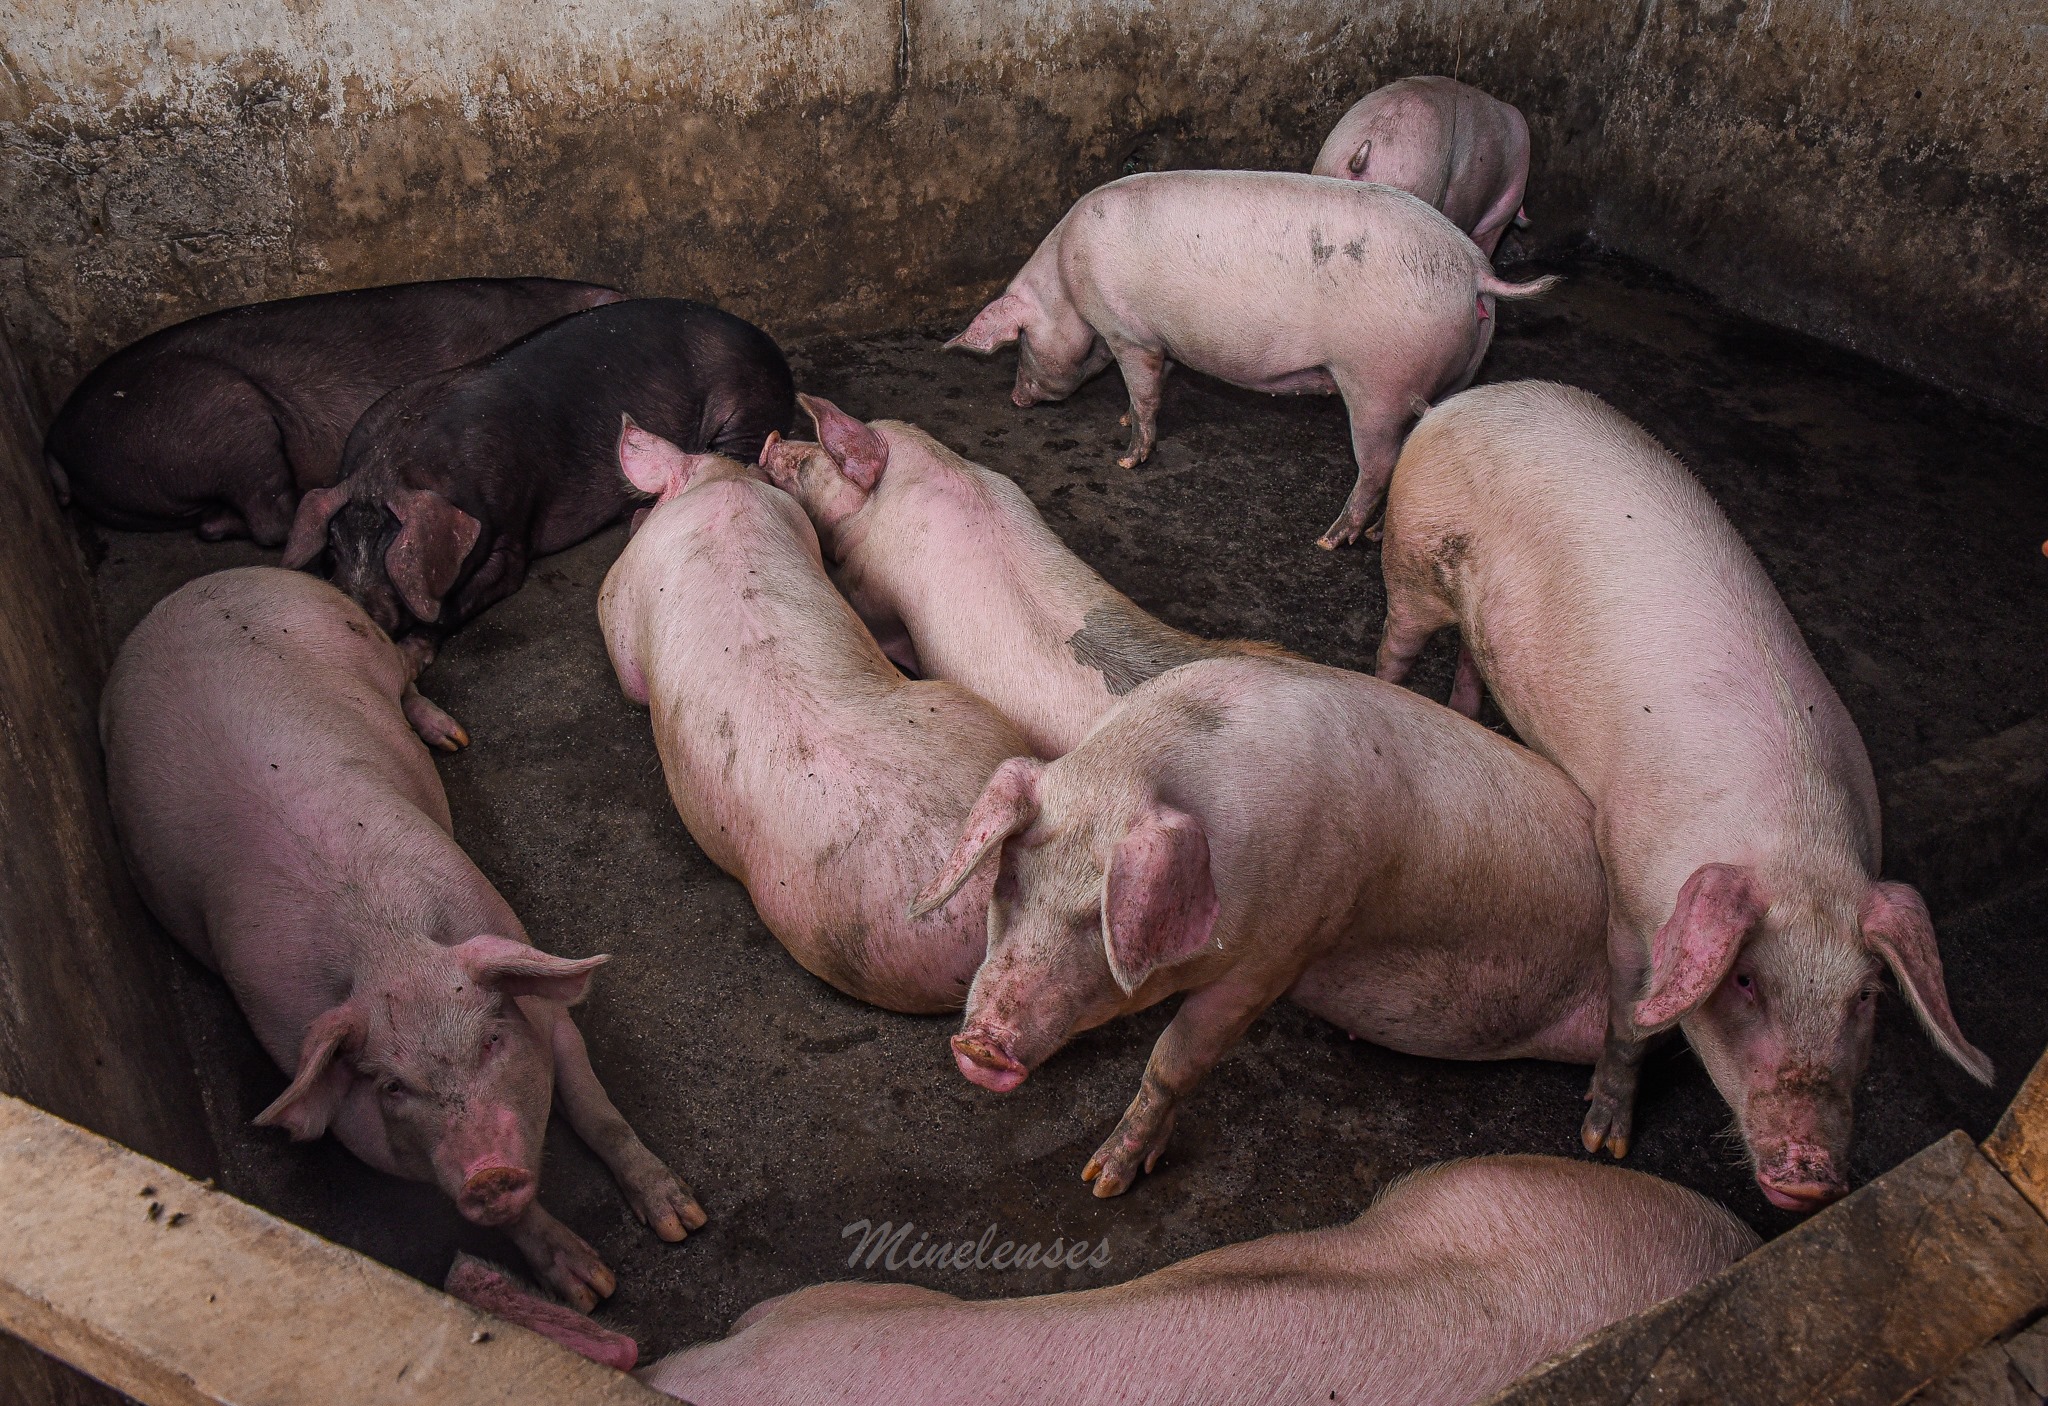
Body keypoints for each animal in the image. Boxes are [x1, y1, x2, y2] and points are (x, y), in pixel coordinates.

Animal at [101, 566, 703, 1306]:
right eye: (392, 1086)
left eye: (492, 1040)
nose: (487, 1172)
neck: (388, 949)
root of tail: (197, 589)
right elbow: (506, 1214)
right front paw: (588, 1289)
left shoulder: (538, 998)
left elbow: (596, 1109)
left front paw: (681, 1223)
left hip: (359, 636)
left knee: (406, 679)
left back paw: (451, 737)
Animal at [283, 297, 795, 645]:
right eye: (333, 548)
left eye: (392, 548)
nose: (356, 614)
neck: (393, 465)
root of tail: (769, 342)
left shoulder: (512, 527)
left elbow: (470, 596)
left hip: (748, 410)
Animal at [912, 653, 1611, 1196]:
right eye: (1010, 881)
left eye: (1097, 919)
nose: (981, 1046)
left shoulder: (1277, 952)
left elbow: (1173, 1062)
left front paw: (1101, 1182)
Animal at [944, 170, 1558, 549]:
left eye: (1020, 341)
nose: (1016, 397)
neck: (1069, 288)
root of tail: (1477, 269)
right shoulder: (1163, 340)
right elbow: (1156, 383)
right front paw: (1121, 419)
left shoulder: (1129, 332)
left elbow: (1142, 389)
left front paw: (1126, 459)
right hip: (1456, 374)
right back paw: (1378, 536)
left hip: (1378, 383)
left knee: (1378, 463)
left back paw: (1330, 539)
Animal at [1373, 381, 1993, 1210]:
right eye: (1745, 980)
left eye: (1865, 997)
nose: (1810, 1176)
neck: (1797, 845)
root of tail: (1461, 401)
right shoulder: (1631, 893)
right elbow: (1630, 1021)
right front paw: (1604, 1145)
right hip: (1411, 557)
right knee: (1396, 645)